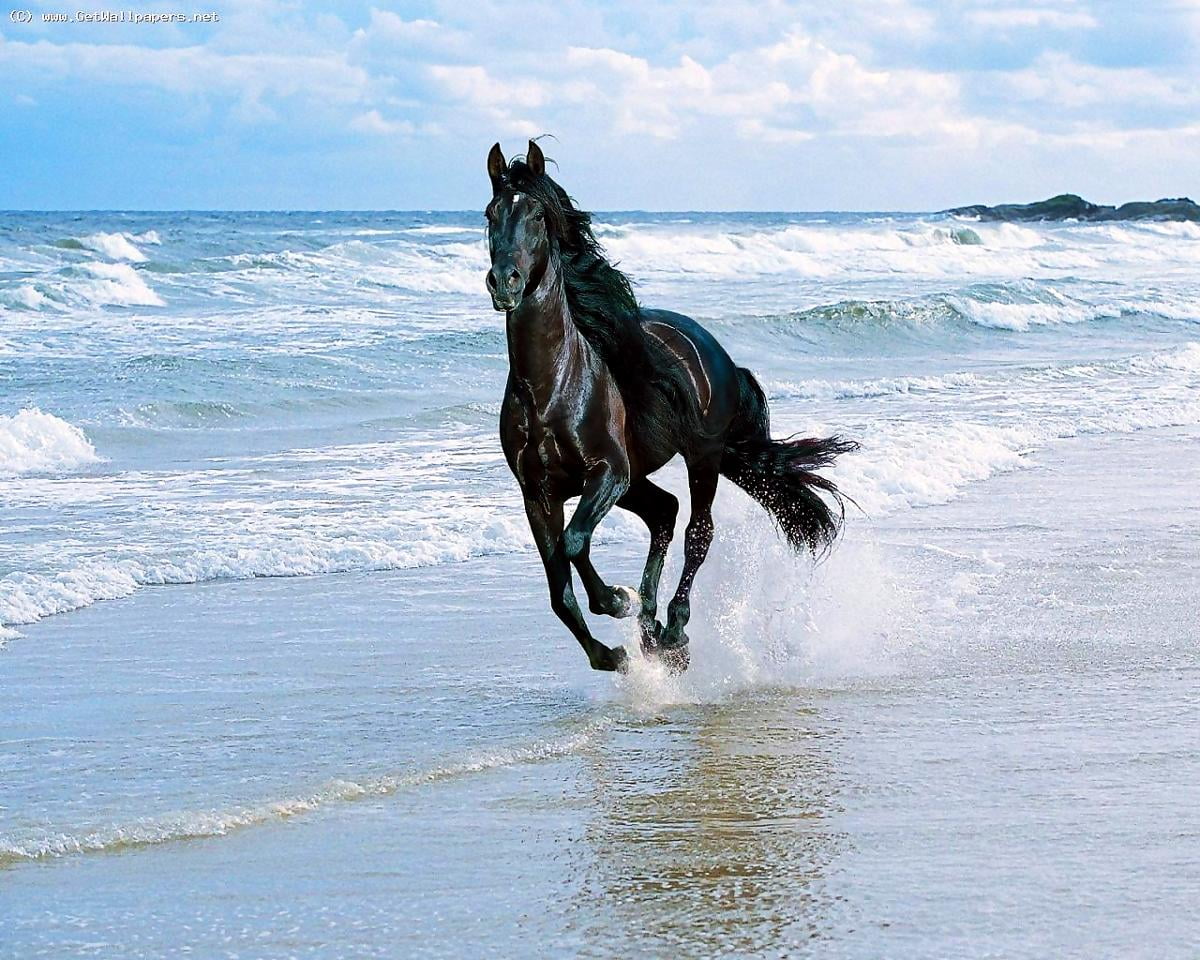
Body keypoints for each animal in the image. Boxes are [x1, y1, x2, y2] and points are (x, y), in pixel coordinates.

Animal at [486, 140, 857, 673]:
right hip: (640, 478)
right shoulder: (538, 493)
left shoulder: (608, 472)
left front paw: (616, 601)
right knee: (664, 512)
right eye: (491, 213)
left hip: (701, 458)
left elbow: (575, 543)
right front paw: (612, 653)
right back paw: (650, 629)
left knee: (697, 531)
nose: (504, 282)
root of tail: (715, 352)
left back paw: (673, 629)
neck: (551, 389)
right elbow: (559, 590)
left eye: (536, 215)